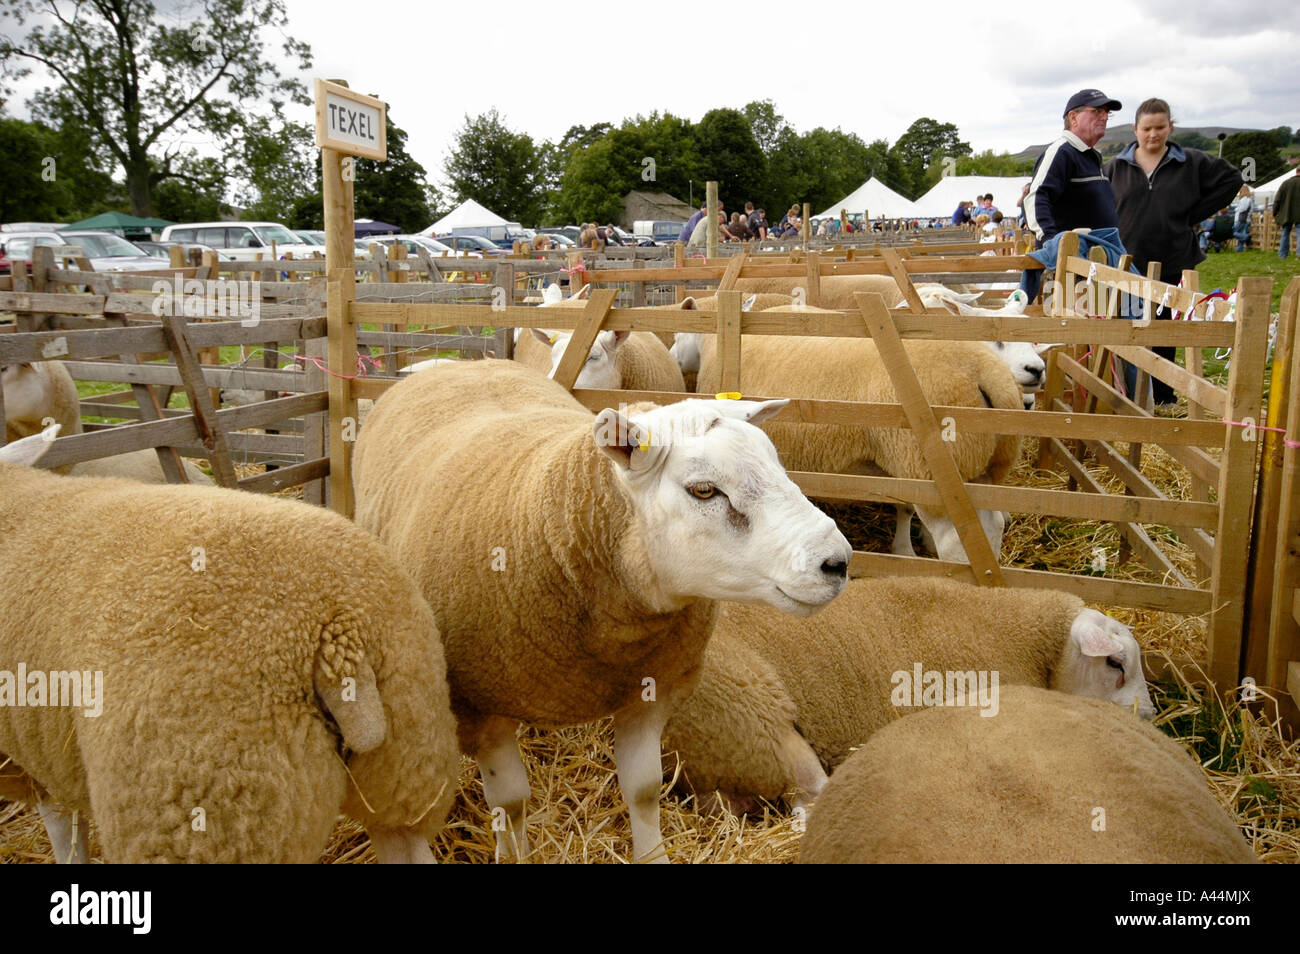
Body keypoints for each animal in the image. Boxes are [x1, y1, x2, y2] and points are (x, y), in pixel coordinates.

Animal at [351, 359, 852, 863]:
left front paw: (652, 855)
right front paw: (513, 852)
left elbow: (644, 789)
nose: (837, 561)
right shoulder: (478, 707)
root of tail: (459, 362)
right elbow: (510, 804)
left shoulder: (653, 689)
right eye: (705, 490)